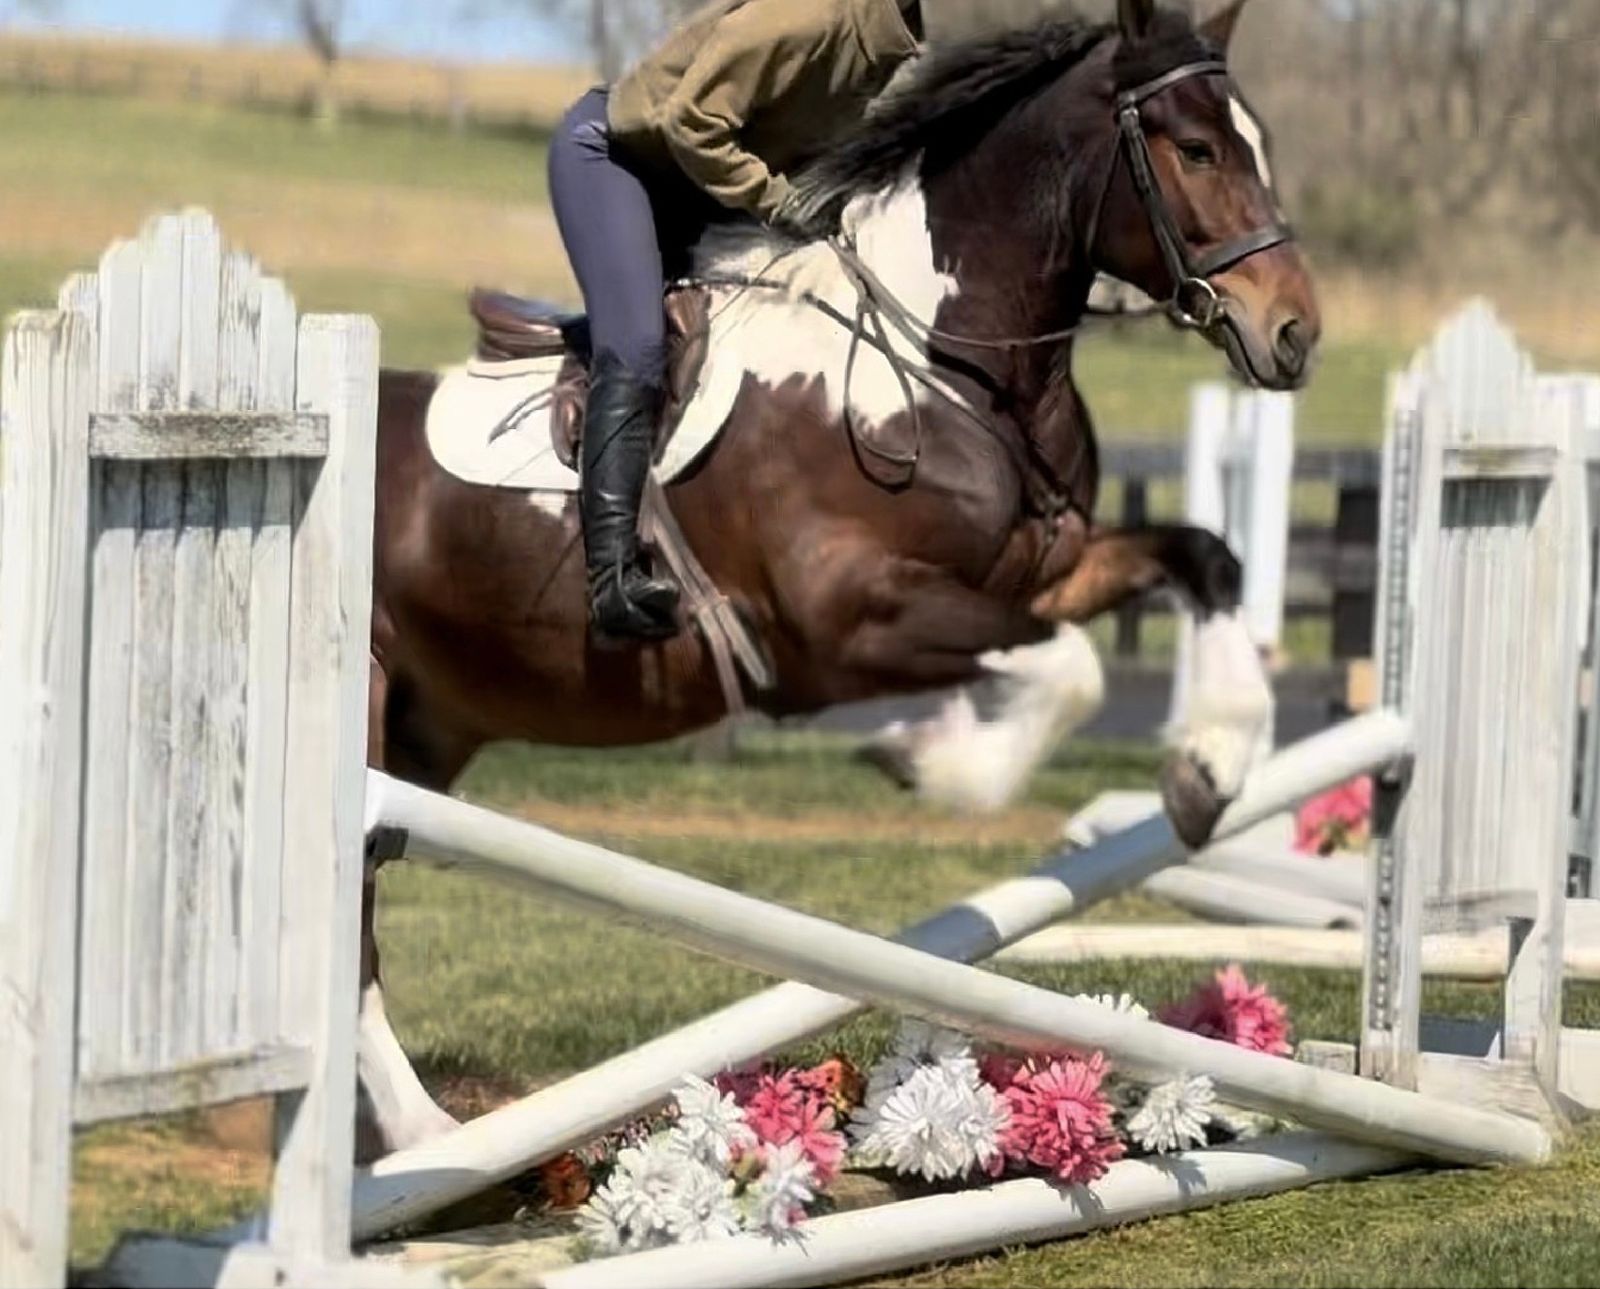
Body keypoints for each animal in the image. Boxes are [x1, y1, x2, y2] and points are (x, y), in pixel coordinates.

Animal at [359, 0, 1320, 1155]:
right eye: (1197, 149)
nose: (1294, 332)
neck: (948, 361)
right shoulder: (841, 625)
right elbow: (1068, 670)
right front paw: (933, 763)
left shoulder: (1044, 575)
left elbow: (1202, 560)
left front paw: (1207, 770)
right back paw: (420, 1132)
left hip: (426, 731)